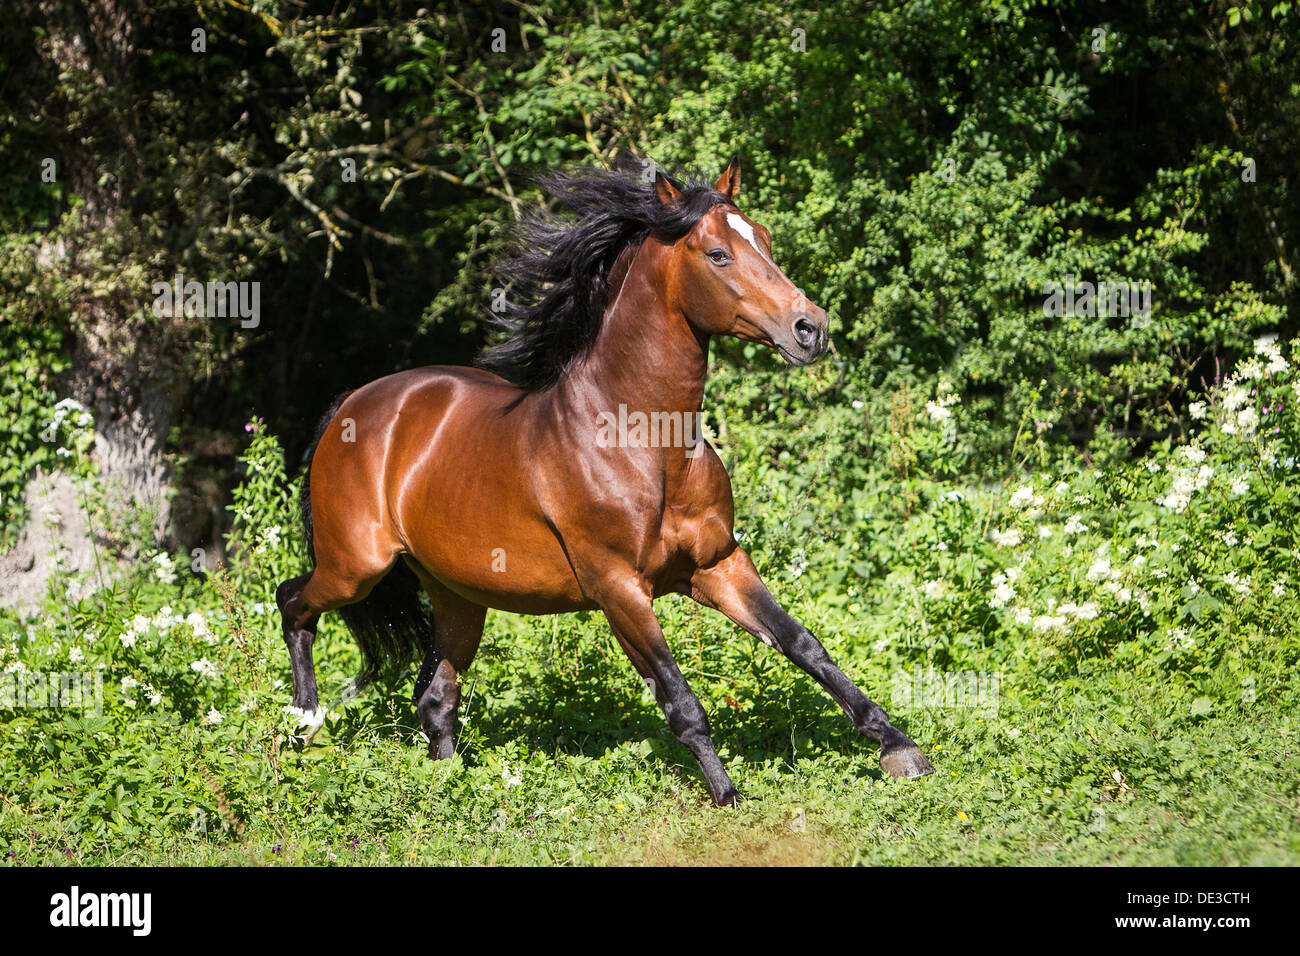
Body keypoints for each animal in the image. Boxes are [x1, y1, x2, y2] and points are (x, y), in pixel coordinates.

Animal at [276, 157, 934, 805]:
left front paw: (901, 750)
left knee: (436, 698)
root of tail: (353, 405)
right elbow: (681, 701)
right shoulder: (619, 588)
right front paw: (727, 795)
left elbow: (804, 645)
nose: (810, 329)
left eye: (765, 241)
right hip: (356, 566)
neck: (644, 444)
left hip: (457, 594)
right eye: (718, 254)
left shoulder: (719, 564)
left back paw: (443, 784)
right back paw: (304, 725)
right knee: (293, 602)